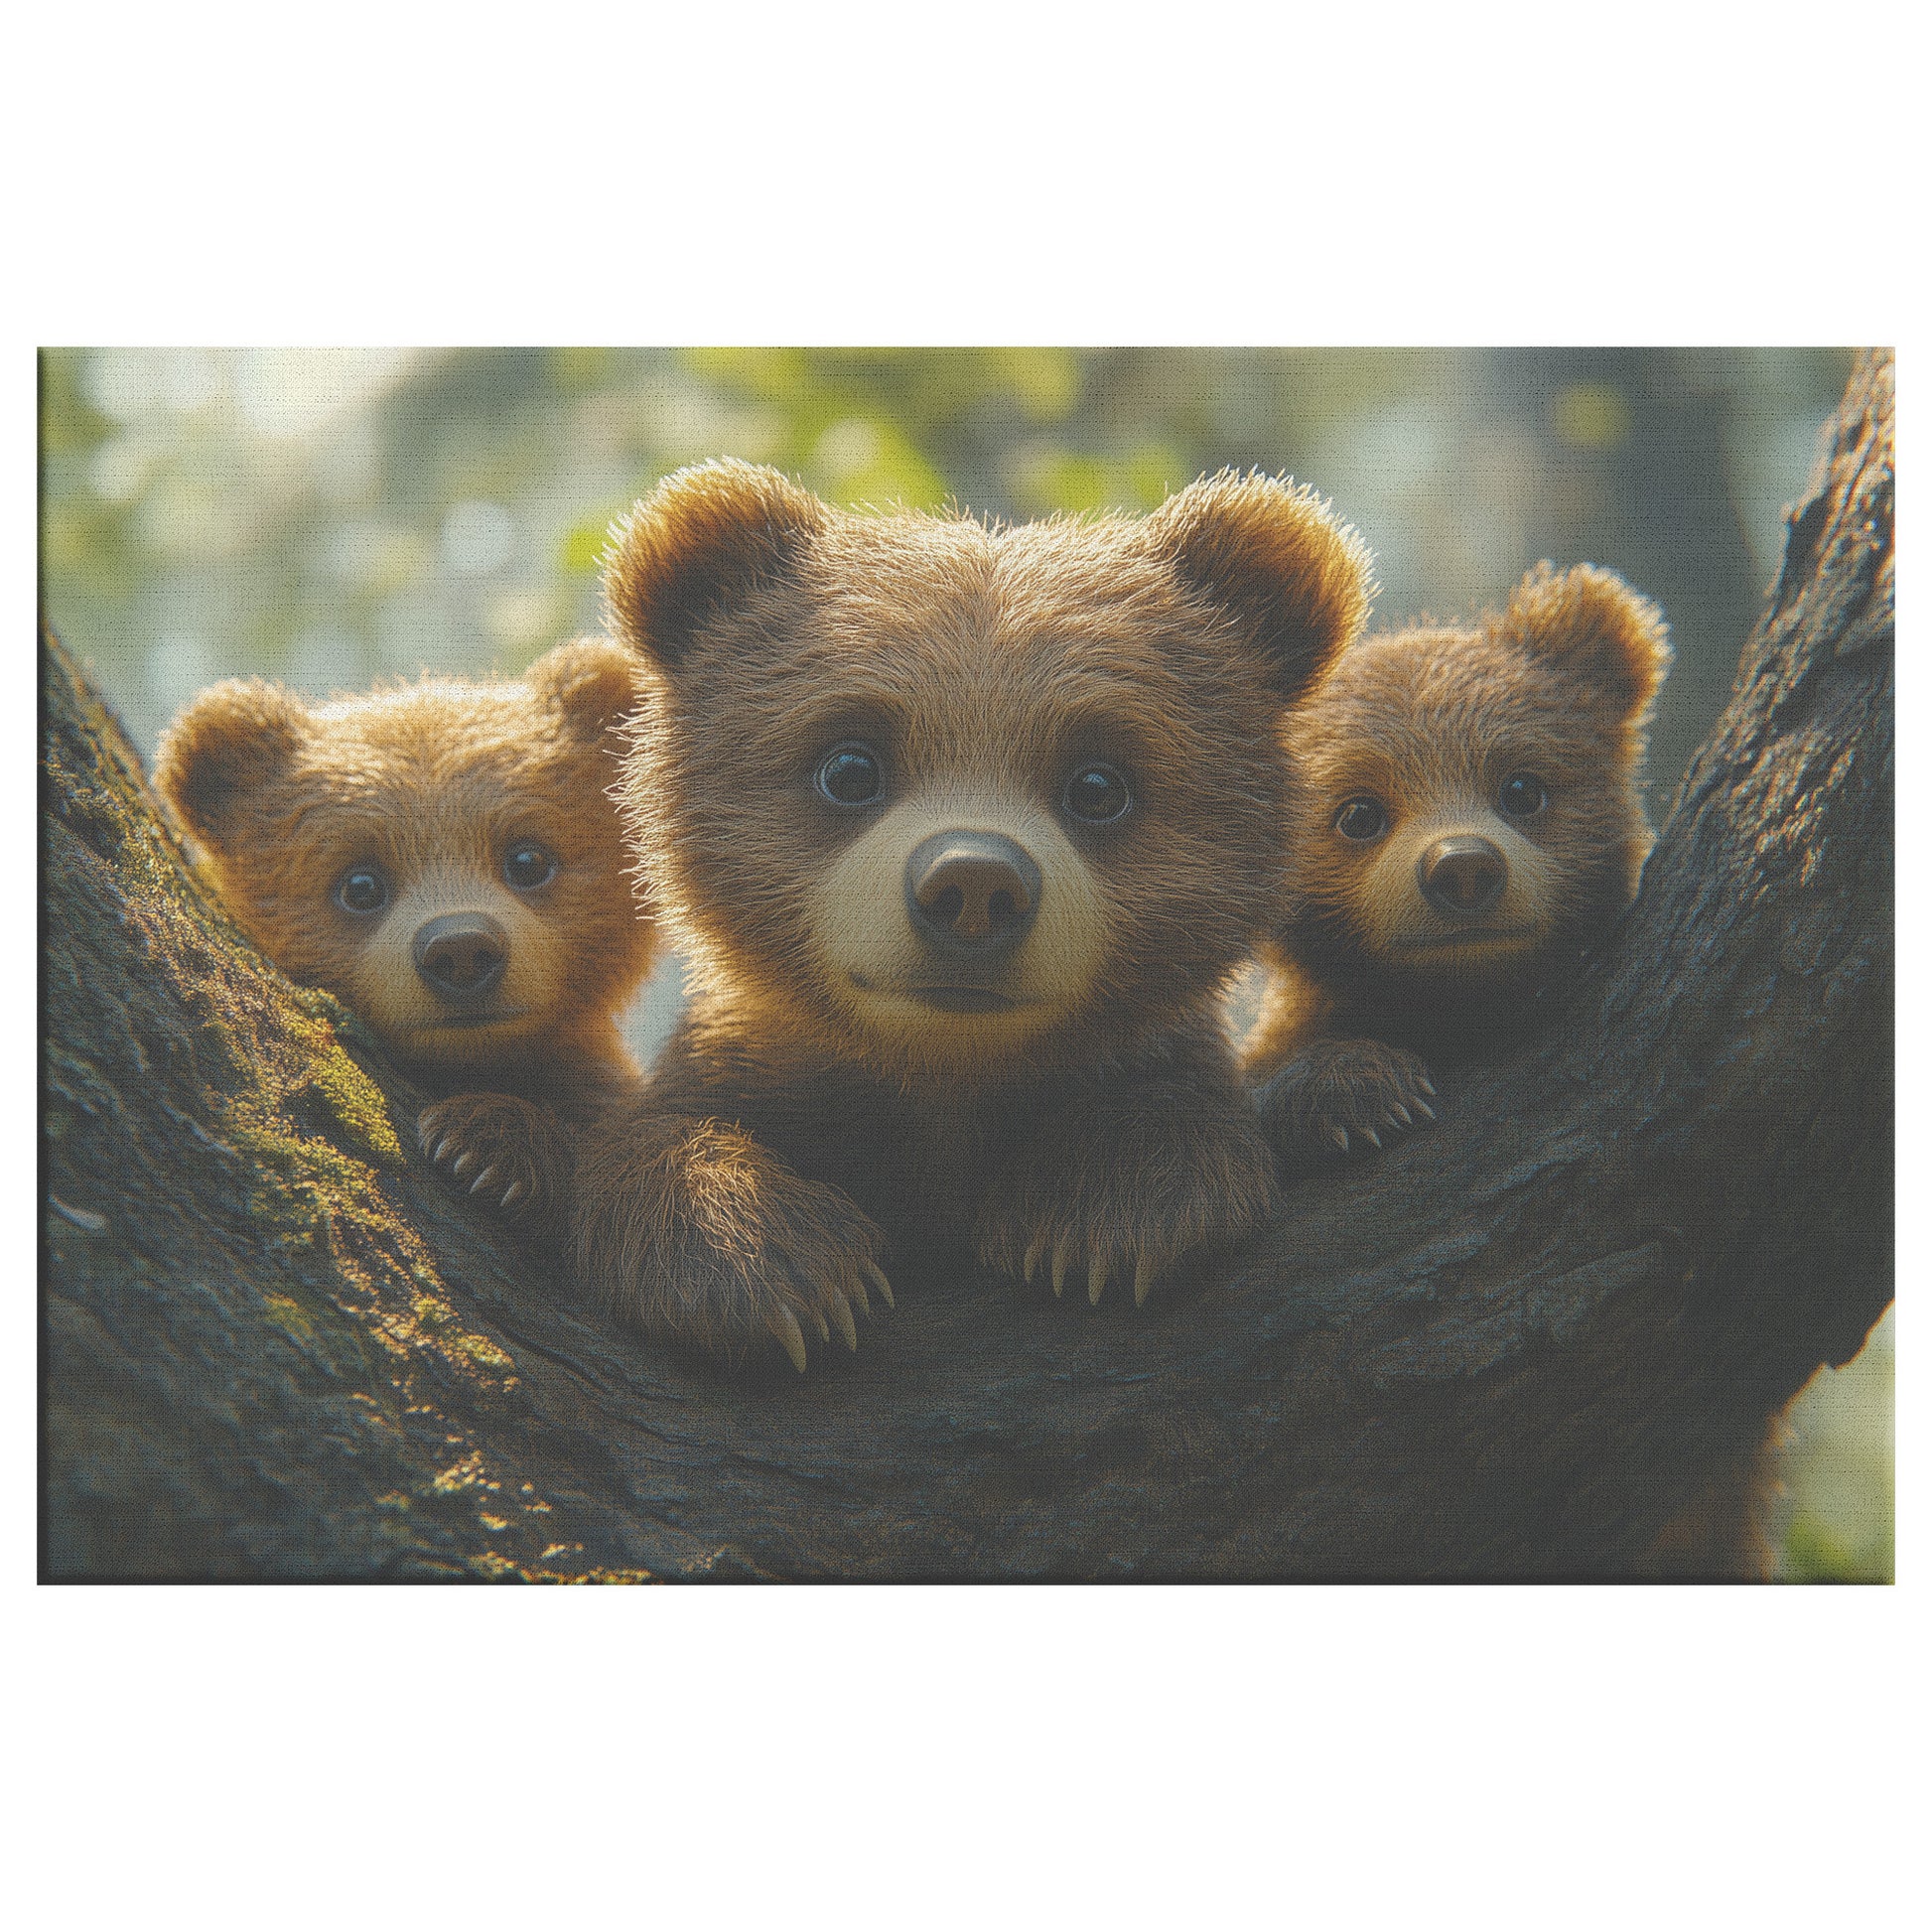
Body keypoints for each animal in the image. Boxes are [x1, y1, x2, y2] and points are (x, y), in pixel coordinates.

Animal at [570, 457, 1374, 1370]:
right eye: (850, 764)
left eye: (1098, 782)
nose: (974, 886)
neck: (945, 1082)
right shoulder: (757, 1075)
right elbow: (663, 1150)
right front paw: (777, 1267)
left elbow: (1166, 1125)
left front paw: (1101, 1214)